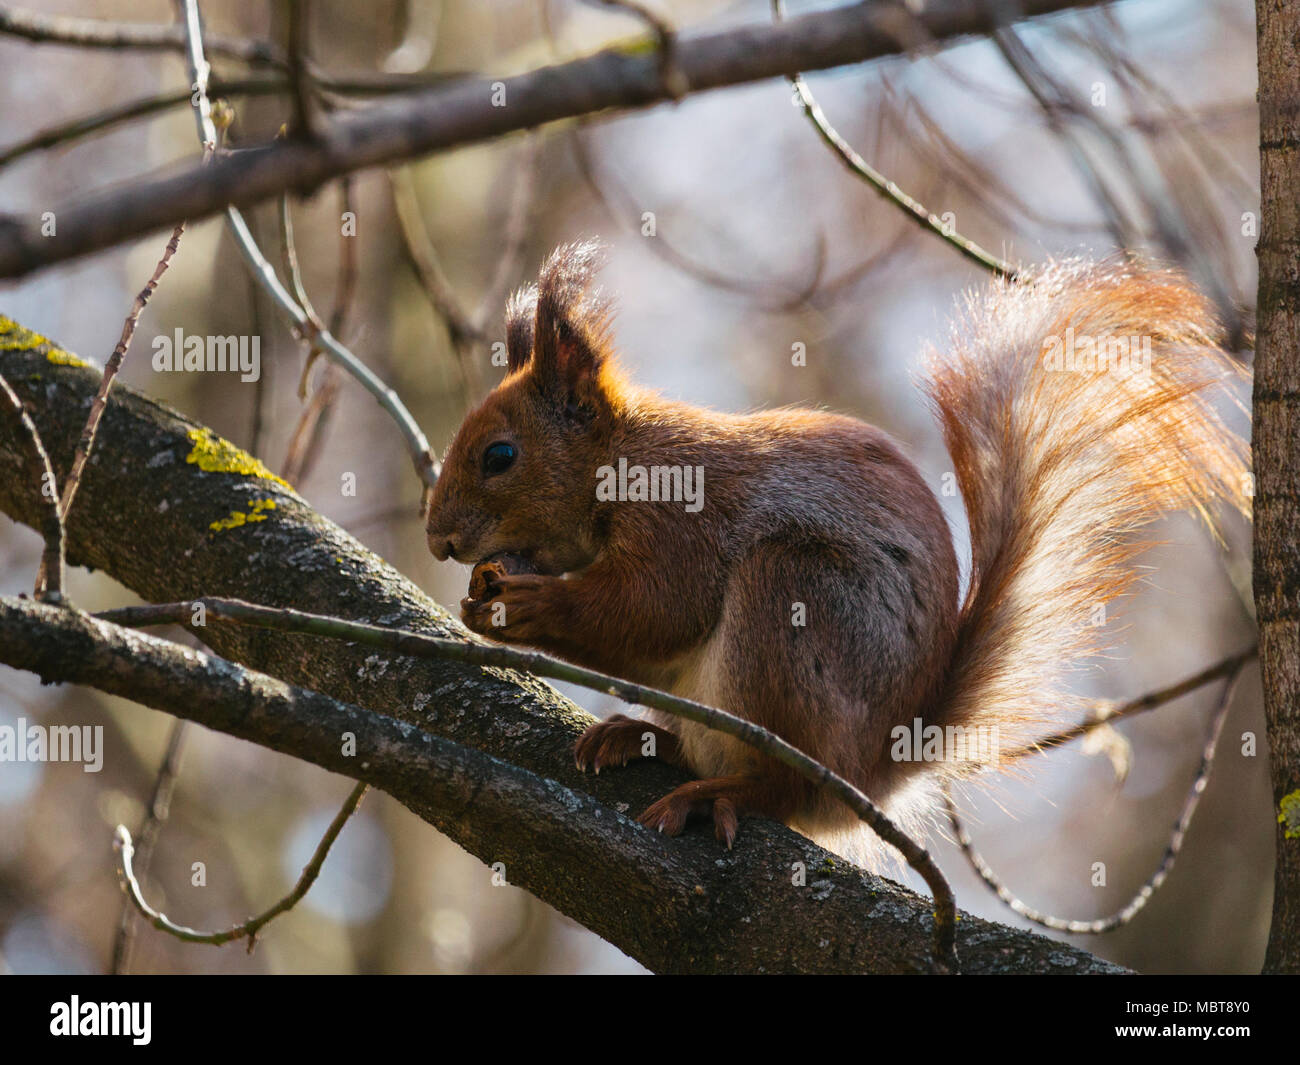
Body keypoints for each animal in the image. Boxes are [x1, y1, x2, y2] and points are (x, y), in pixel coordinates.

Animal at [425, 240, 1250, 867]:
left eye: (500, 455)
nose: (438, 539)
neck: (623, 460)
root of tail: (872, 774)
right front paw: (484, 596)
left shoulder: (683, 522)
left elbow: (652, 610)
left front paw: (523, 605)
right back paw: (643, 737)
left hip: (796, 597)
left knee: (781, 787)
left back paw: (720, 791)